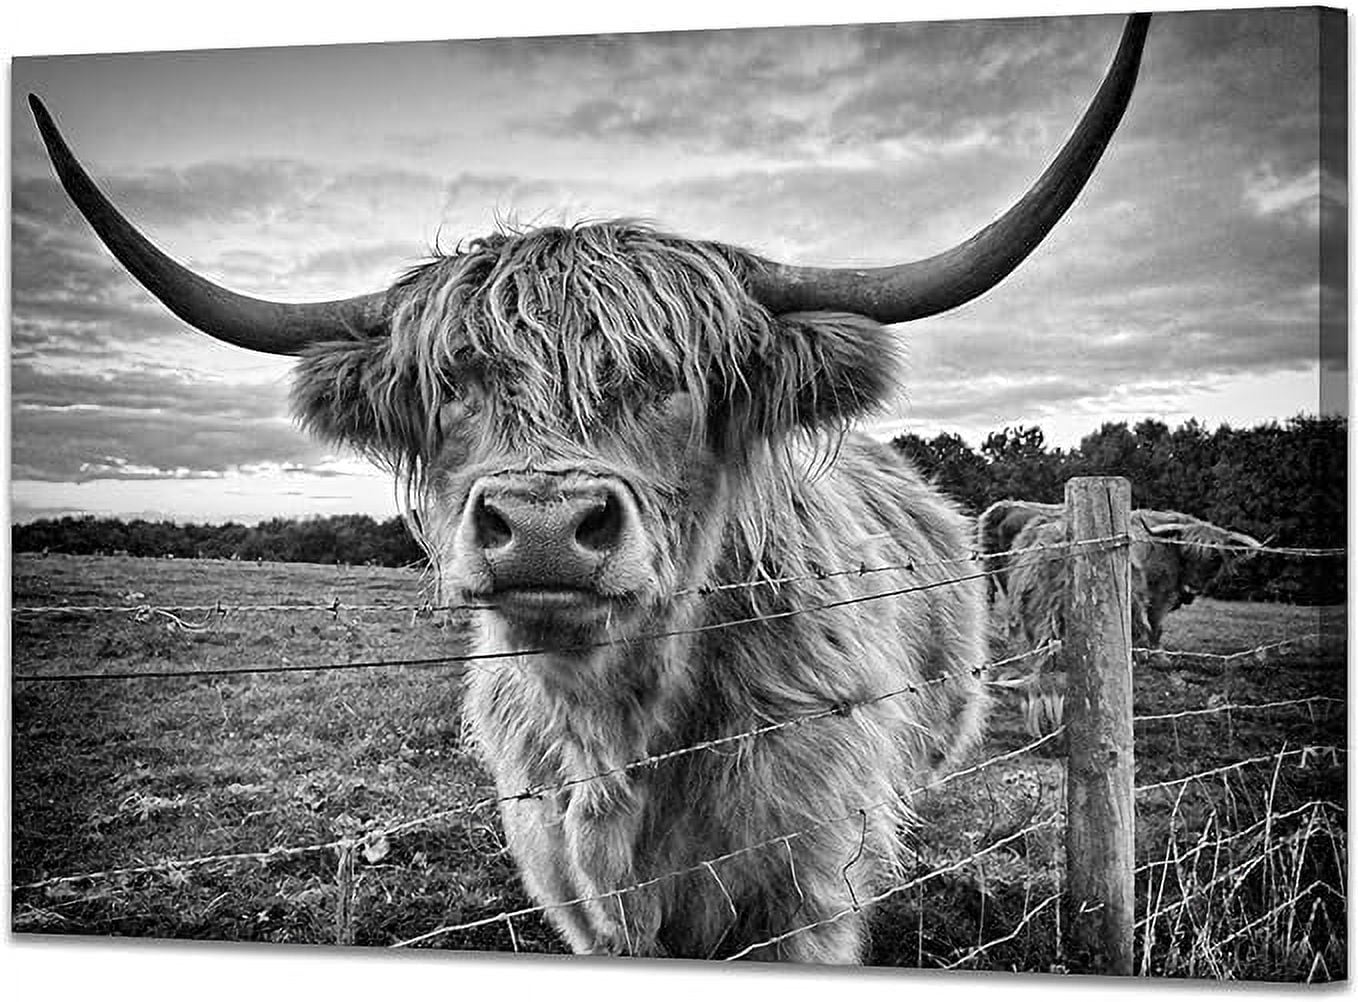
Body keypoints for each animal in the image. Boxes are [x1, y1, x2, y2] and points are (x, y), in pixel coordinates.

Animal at [28, 14, 1149, 963]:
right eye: (454, 385)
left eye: (670, 380)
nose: (542, 527)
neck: (615, 736)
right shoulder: (572, 895)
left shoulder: (811, 892)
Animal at [1003, 507, 1263, 737]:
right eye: (1187, 551)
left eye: (1215, 557)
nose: (1191, 590)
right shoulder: (1158, 598)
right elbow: (1156, 627)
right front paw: (1158, 658)